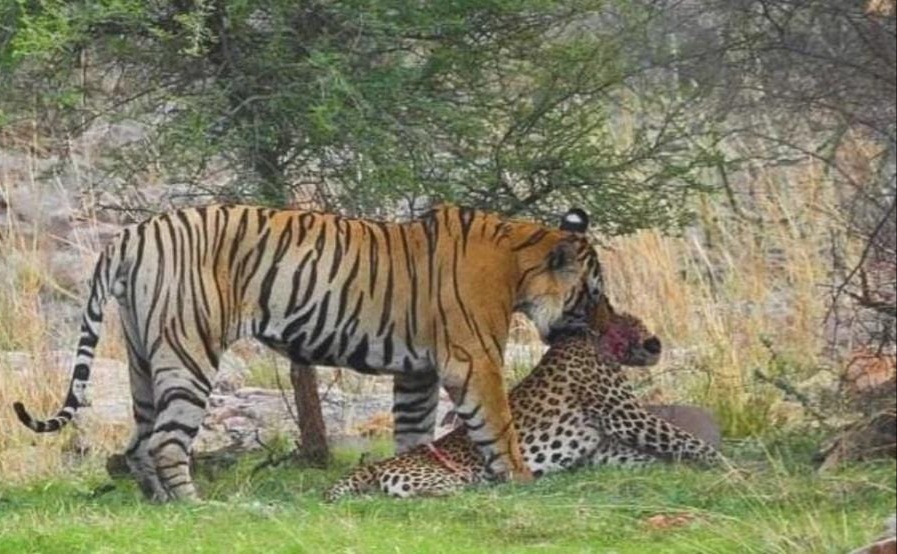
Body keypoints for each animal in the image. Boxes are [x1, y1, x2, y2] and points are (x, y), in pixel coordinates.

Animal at [13, 204, 604, 502]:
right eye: (595, 293)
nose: (609, 324)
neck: (519, 260)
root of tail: (130, 234)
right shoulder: (473, 357)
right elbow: (499, 424)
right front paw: (520, 480)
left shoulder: (416, 369)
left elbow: (412, 431)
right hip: (188, 354)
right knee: (165, 442)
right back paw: (198, 509)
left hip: (142, 360)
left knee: (137, 443)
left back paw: (158, 505)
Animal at [325, 295, 724, 501]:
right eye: (636, 324)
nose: (656, 343)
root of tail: (377, 465)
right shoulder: (626, 415)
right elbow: (686, 440)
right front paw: (725, 467)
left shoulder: (603, 445)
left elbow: (649, 457)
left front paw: (681, 471)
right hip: (448, 479)